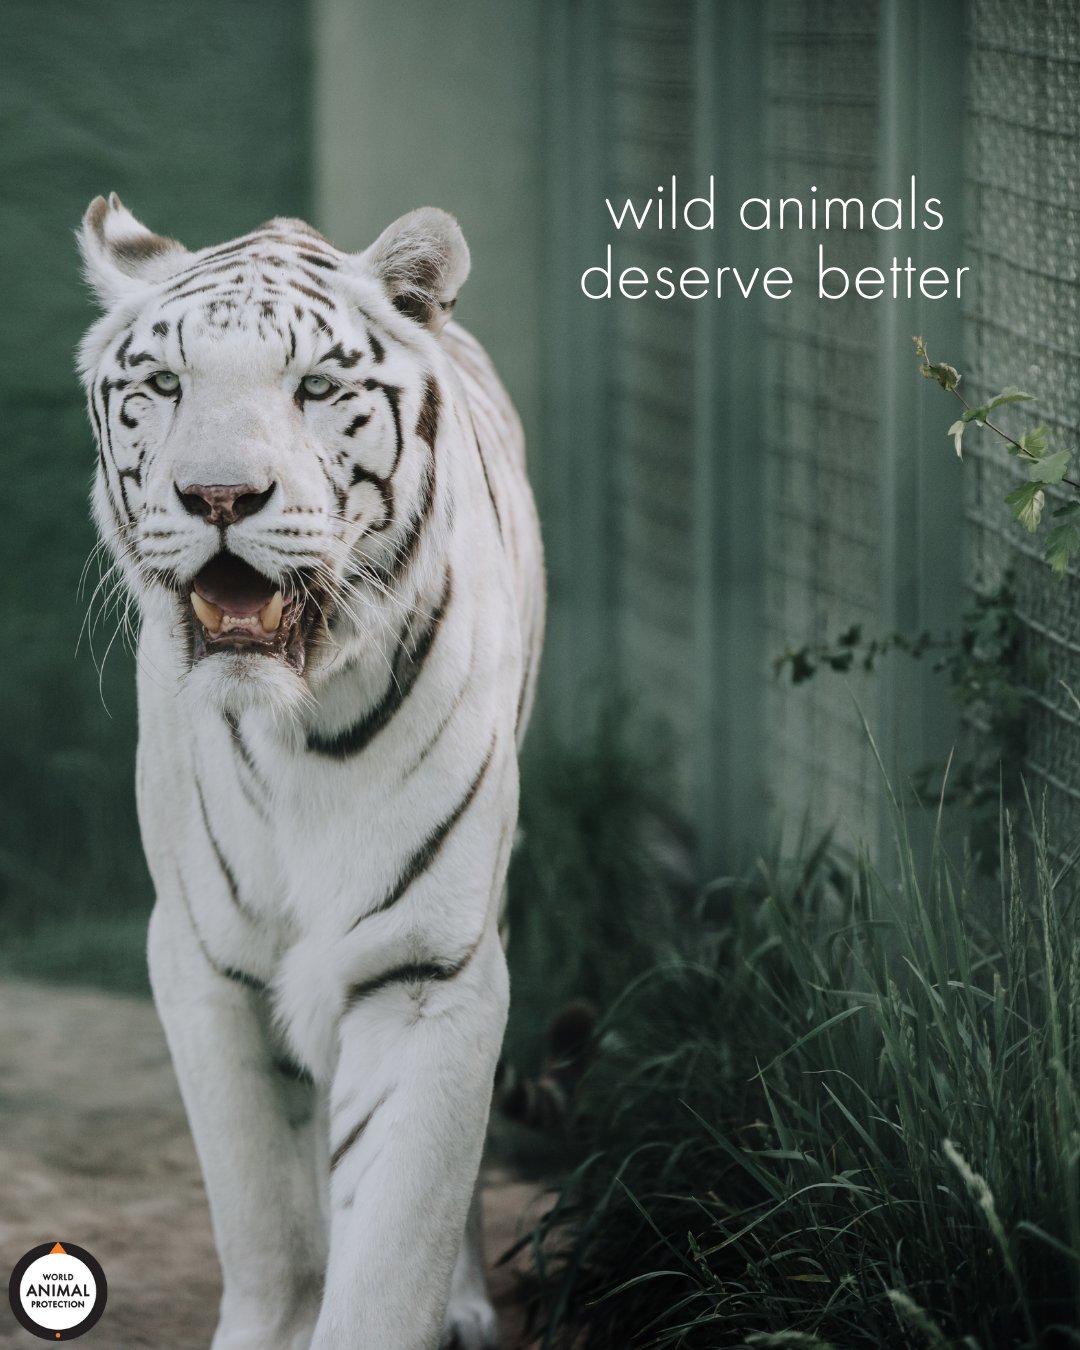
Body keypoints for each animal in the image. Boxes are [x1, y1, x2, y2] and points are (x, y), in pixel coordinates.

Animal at [77, 193, 544, 1350]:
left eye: (316, 389)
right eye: (165, 385)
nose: (219, 496)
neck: (297, 730)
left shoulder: (427, 967)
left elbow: (392, 1244)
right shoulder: (206, 961)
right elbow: (269, 1224)